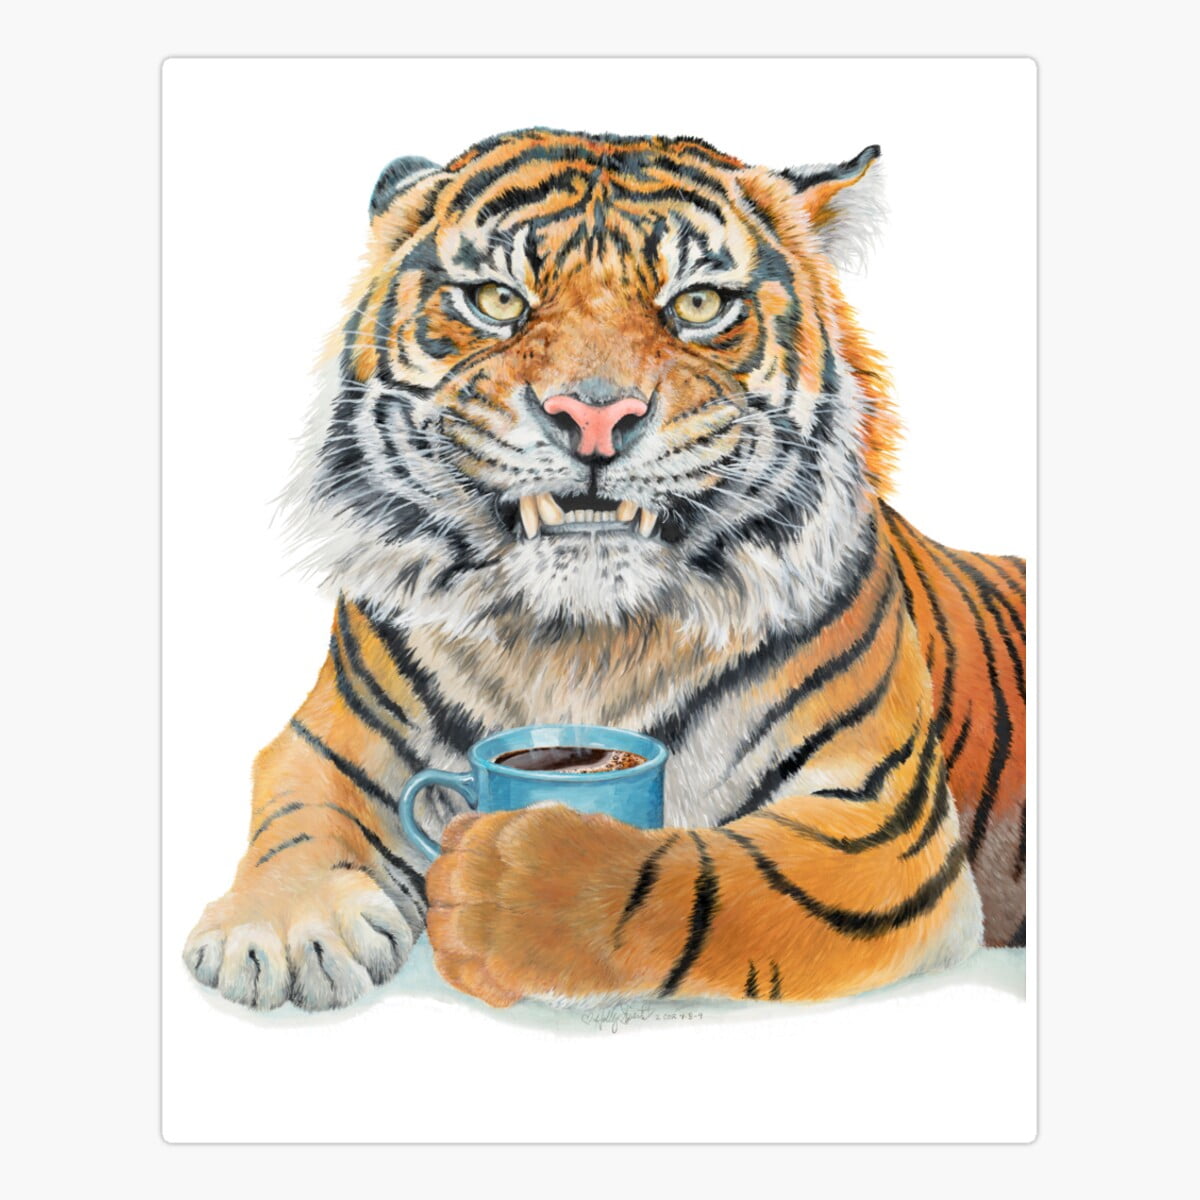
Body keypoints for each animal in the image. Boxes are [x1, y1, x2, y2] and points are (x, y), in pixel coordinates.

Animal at [183, 128, 1026, 1012]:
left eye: (698, 305)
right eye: (497, 300)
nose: (593, 416)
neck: (577, 641)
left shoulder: (879, 822)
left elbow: (696, 880)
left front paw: (506, 884)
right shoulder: (330, 735)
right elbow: (300, 811)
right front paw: (282, 930)